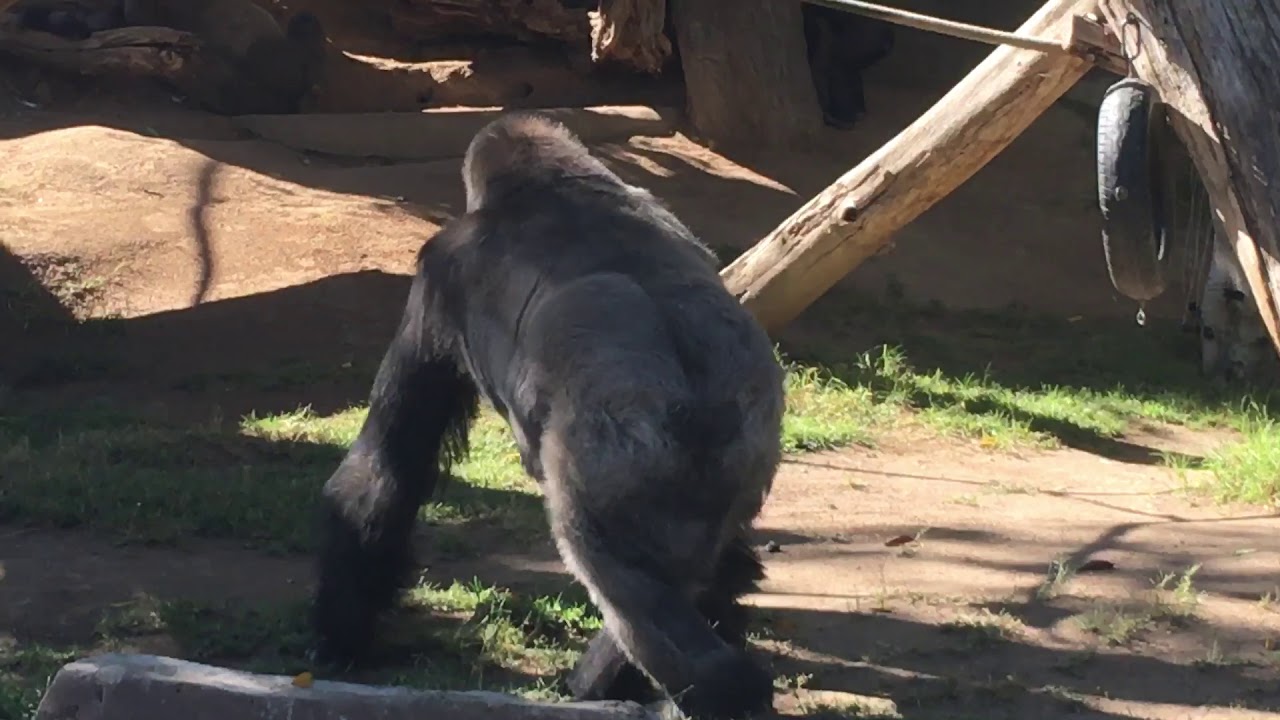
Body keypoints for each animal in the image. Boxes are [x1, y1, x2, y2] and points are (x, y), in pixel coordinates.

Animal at [310, 111, 786, 719]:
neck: (559, 184)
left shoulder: (439, 274)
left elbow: (388, 463)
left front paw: (340, 633)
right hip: (745, 453)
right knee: (689, 572)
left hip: (618, 455)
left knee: (622, 584)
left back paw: (683, 687)